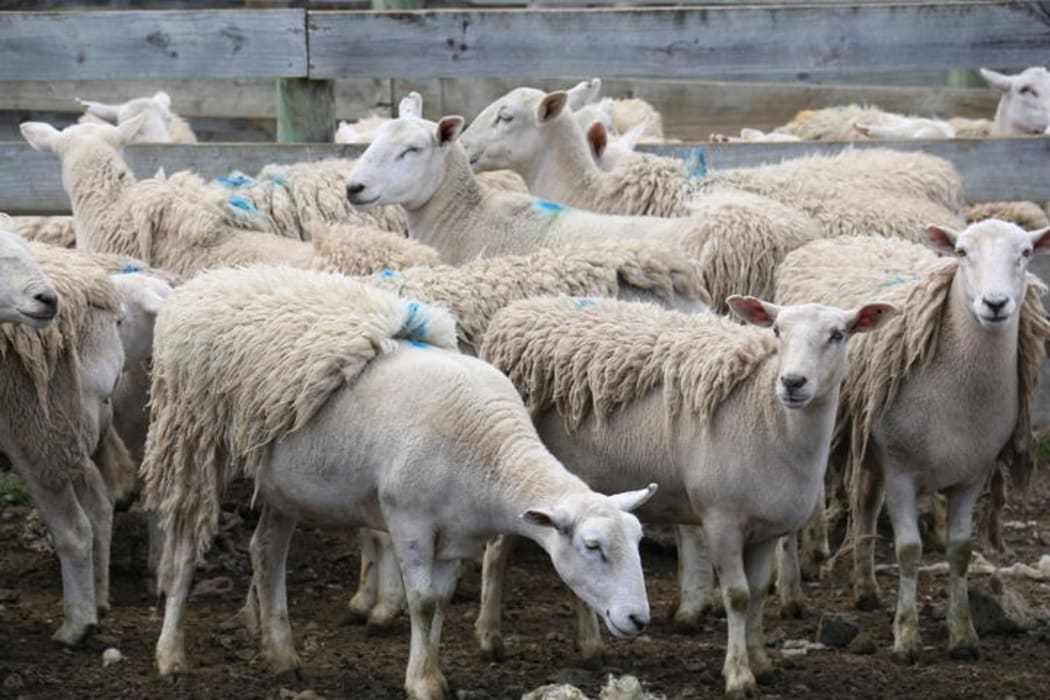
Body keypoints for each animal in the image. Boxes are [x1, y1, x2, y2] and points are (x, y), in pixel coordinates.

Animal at [0, 235, 128, 646]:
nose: (47, 299)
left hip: (38, 430)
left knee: (74, 529)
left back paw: (78, 625)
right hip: (77, 425)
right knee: (99, 506)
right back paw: (100, 599)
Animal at [141, 266, 656, 698]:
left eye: (637, 542)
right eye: (592, 546)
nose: (639, 619)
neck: (490, 452)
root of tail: (208, 280)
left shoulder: (456, 534)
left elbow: (442, 600)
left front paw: (436, 672)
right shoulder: (409, 520)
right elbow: (423, 601)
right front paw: (422, 683)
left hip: (283, 483)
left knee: (266, 552)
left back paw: (283, 656)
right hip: (192, 438)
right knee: (184, 550)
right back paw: (170, 655)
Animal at [477, 293, 896, 697]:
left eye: (838, 335)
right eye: (777, 330)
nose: (792, 382)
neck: (770, 419)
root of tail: (517, 311)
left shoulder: (766, 530)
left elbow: (760, 593)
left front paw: (761, 662)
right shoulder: (721, 520)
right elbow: (738, 595)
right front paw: (738, 676)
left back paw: (590, 648)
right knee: (497, 551)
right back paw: (490, 638)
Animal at [774, 222, 1050, 662]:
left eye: (1025, 253)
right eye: (961, 252)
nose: (995, 304)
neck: (961, 388)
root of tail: (850, 235)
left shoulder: (971, 476)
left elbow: (960, 551)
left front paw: (963, 635)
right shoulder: (901, 471)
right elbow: (908, 551)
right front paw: (906, 637)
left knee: (864, 504)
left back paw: (866, 589)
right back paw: (790, 595)